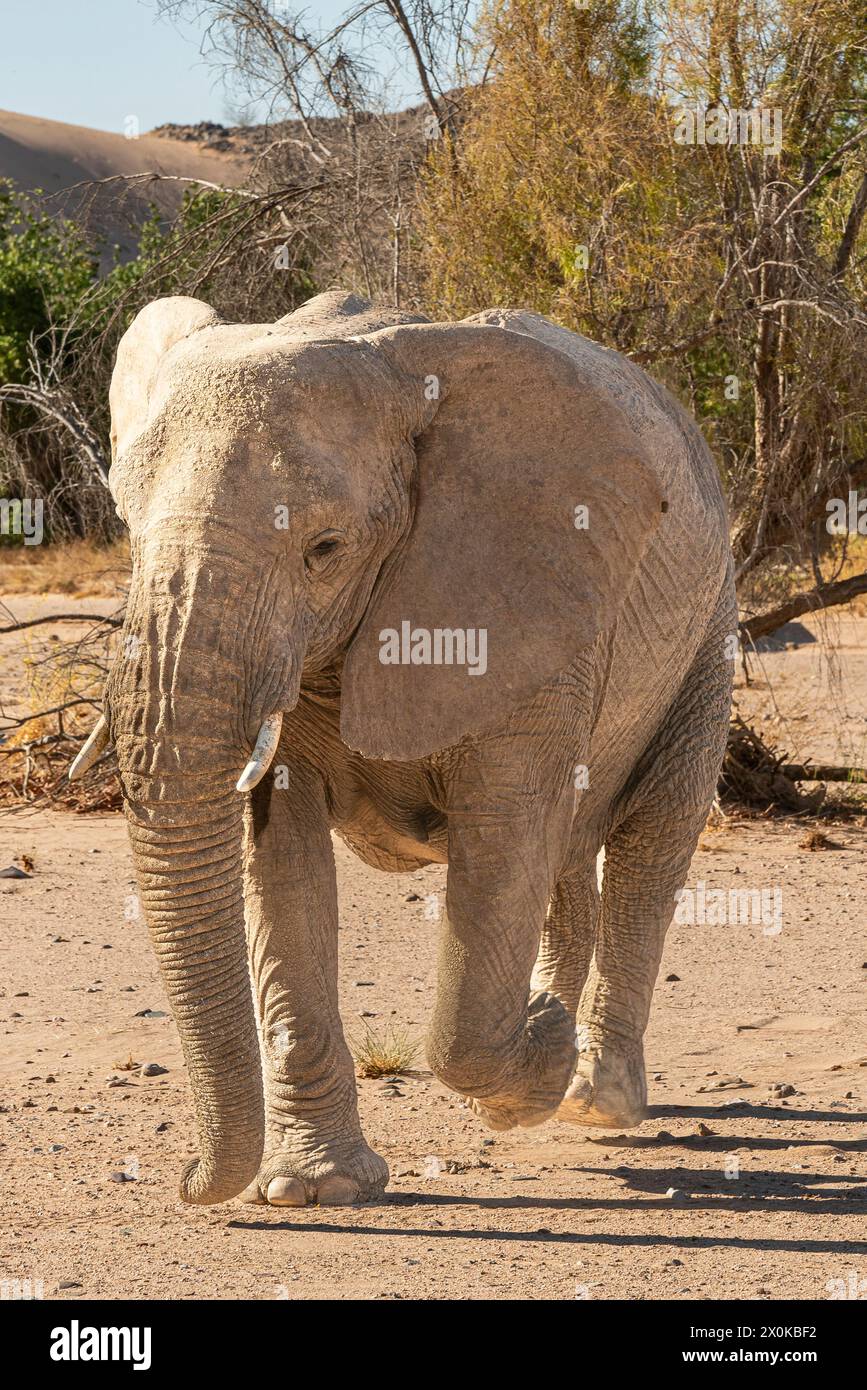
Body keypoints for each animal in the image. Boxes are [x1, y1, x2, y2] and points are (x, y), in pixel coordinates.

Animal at [71, 289, 735, 1208]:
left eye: (325, 549)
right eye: (126, 528)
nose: (183, 1180)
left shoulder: (529, 594)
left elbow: (503, 841)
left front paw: (537, 1057)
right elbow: (282, 867)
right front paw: (313, 1191)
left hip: (705, 627)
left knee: (652, 835)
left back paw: (592, 1098)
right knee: (567, 851)